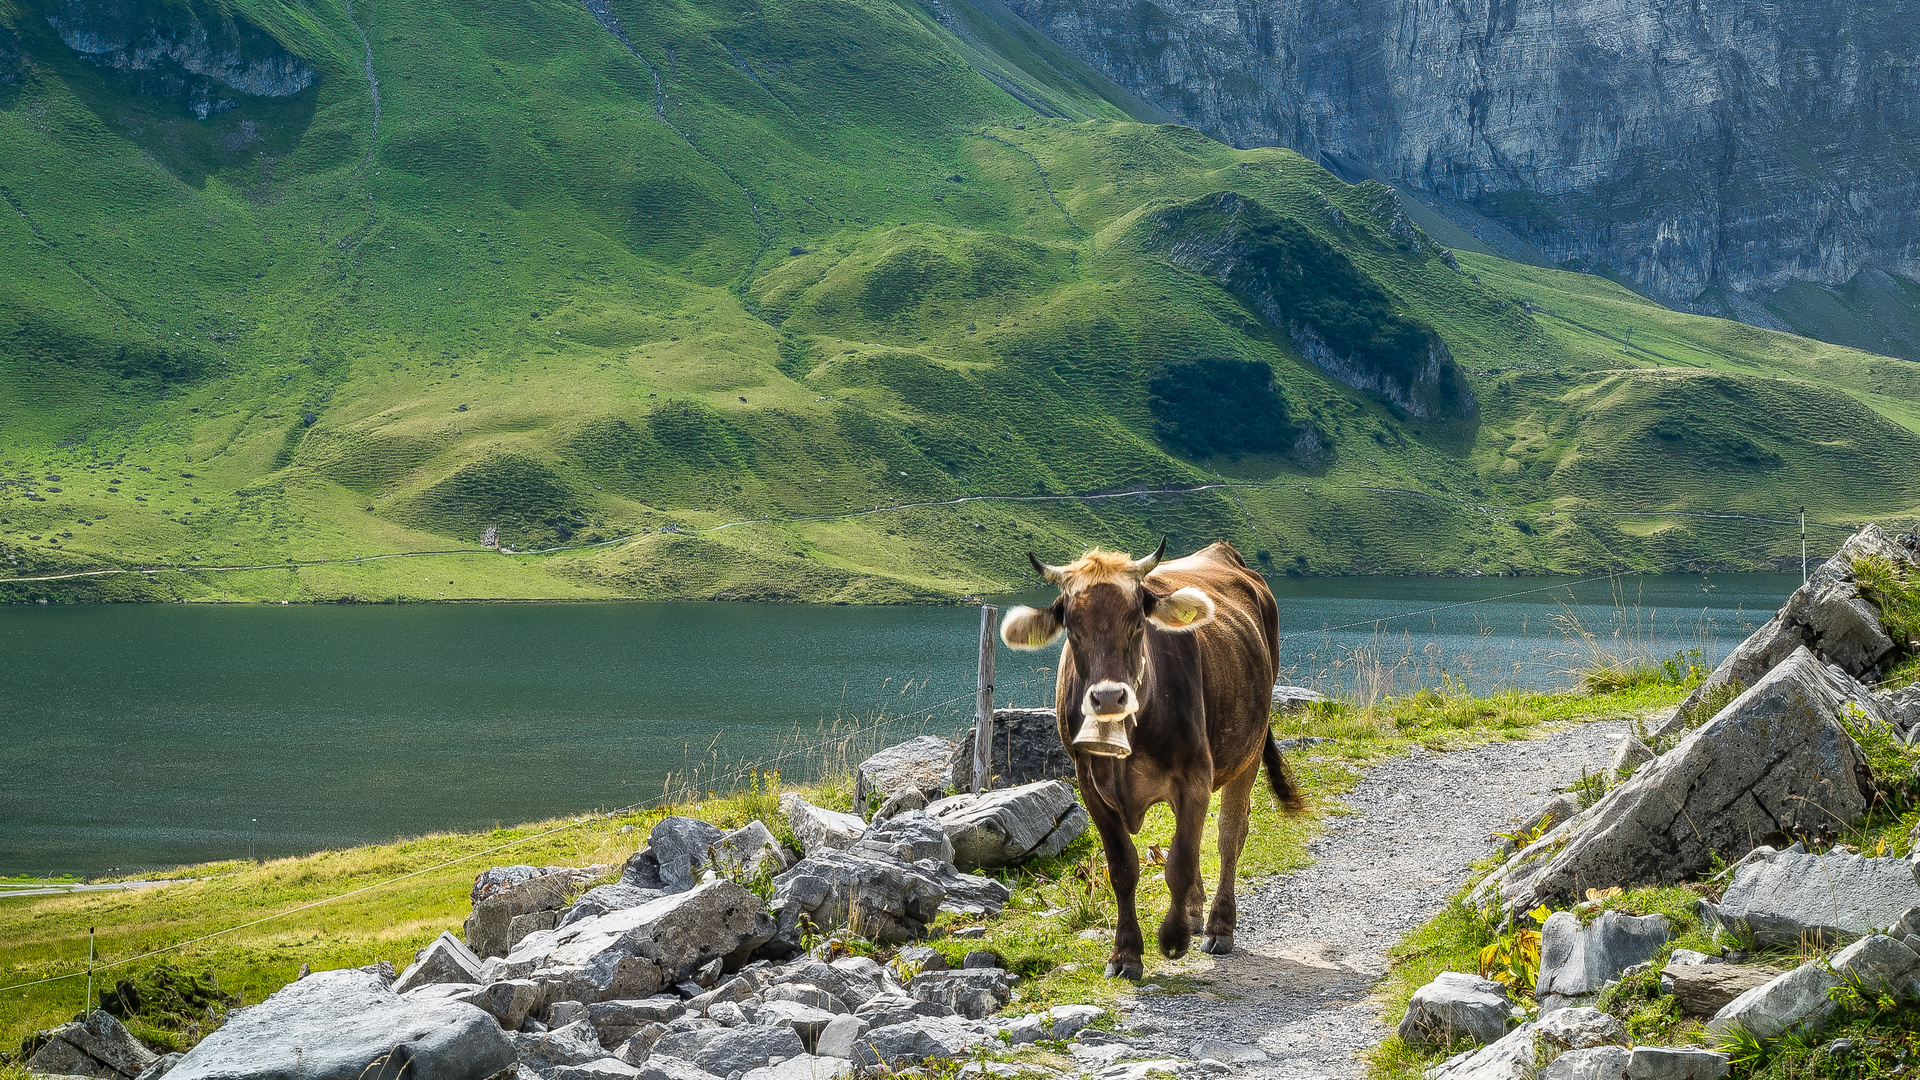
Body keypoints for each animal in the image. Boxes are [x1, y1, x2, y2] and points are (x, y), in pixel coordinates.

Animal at [1000, 539, 1303, 979]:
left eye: (1137, 622)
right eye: (1072, 628)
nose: (1109, 697)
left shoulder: (1195, 777)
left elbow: (1179, 860)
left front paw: (1172, 938)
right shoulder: (1089, 786)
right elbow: (1124, 867)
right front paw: (1125, 954)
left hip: (1249, 745)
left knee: (1229, 835)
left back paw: (1218, 925)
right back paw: (1194, 913)